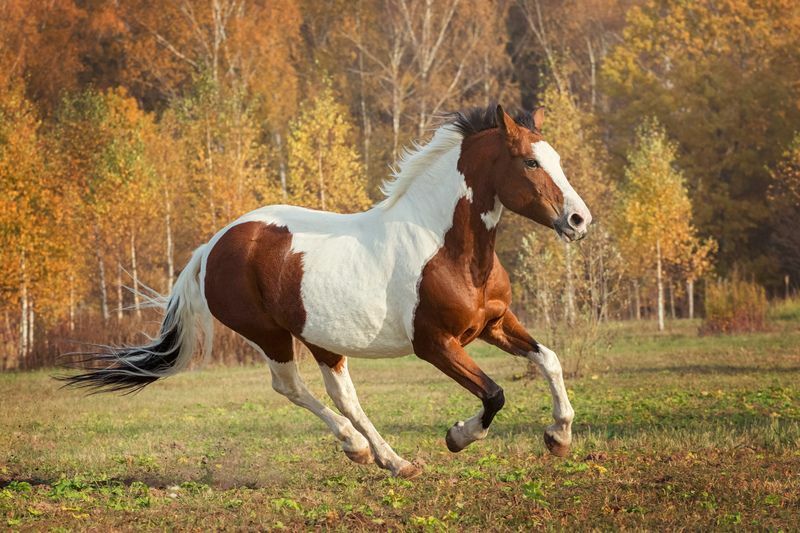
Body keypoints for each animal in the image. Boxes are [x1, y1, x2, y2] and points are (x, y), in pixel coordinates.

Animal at [62, 104, 592, 478]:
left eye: (557, 159)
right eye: (529, 161)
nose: (578, 220)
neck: (445, 247)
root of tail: (214, 244)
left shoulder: (494, 323)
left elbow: (548, 359)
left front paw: (559, 437)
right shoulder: (436, 345)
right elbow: (494, 394)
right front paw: (458, 436)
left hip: (321, 338)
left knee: (344, 396)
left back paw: (393, 461)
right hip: (271, 334)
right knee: (292, 387)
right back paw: (357, 448)